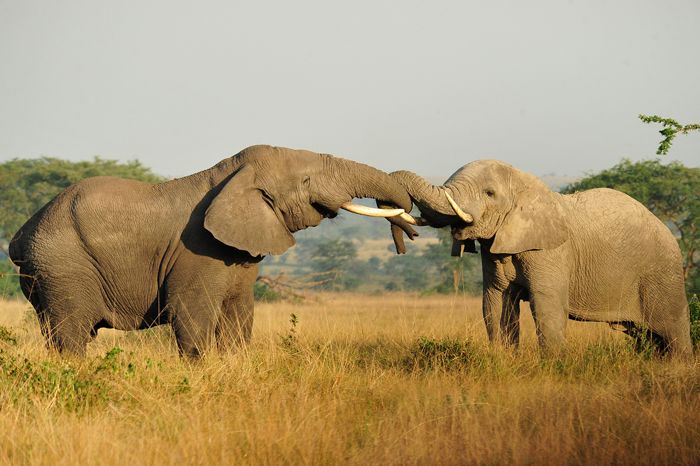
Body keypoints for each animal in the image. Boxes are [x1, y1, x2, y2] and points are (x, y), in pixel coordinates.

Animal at [9, 145, 415, 357]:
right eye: (306, 180)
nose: (408, 236)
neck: (232, 175)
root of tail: (19, 236)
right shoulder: (197, 251)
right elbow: (191, 316)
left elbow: (238, 316)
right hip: (63, 267)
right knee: (71, 338)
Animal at [388, 160, 692, 355]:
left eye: (489, 193)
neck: (523, 184)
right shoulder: (496, 249)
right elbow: (495, 302)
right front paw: (503, 361)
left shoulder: (551, 252)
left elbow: (546, 305)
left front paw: (554, 367)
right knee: (646, 335)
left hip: (662, 273)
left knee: (673, 330)